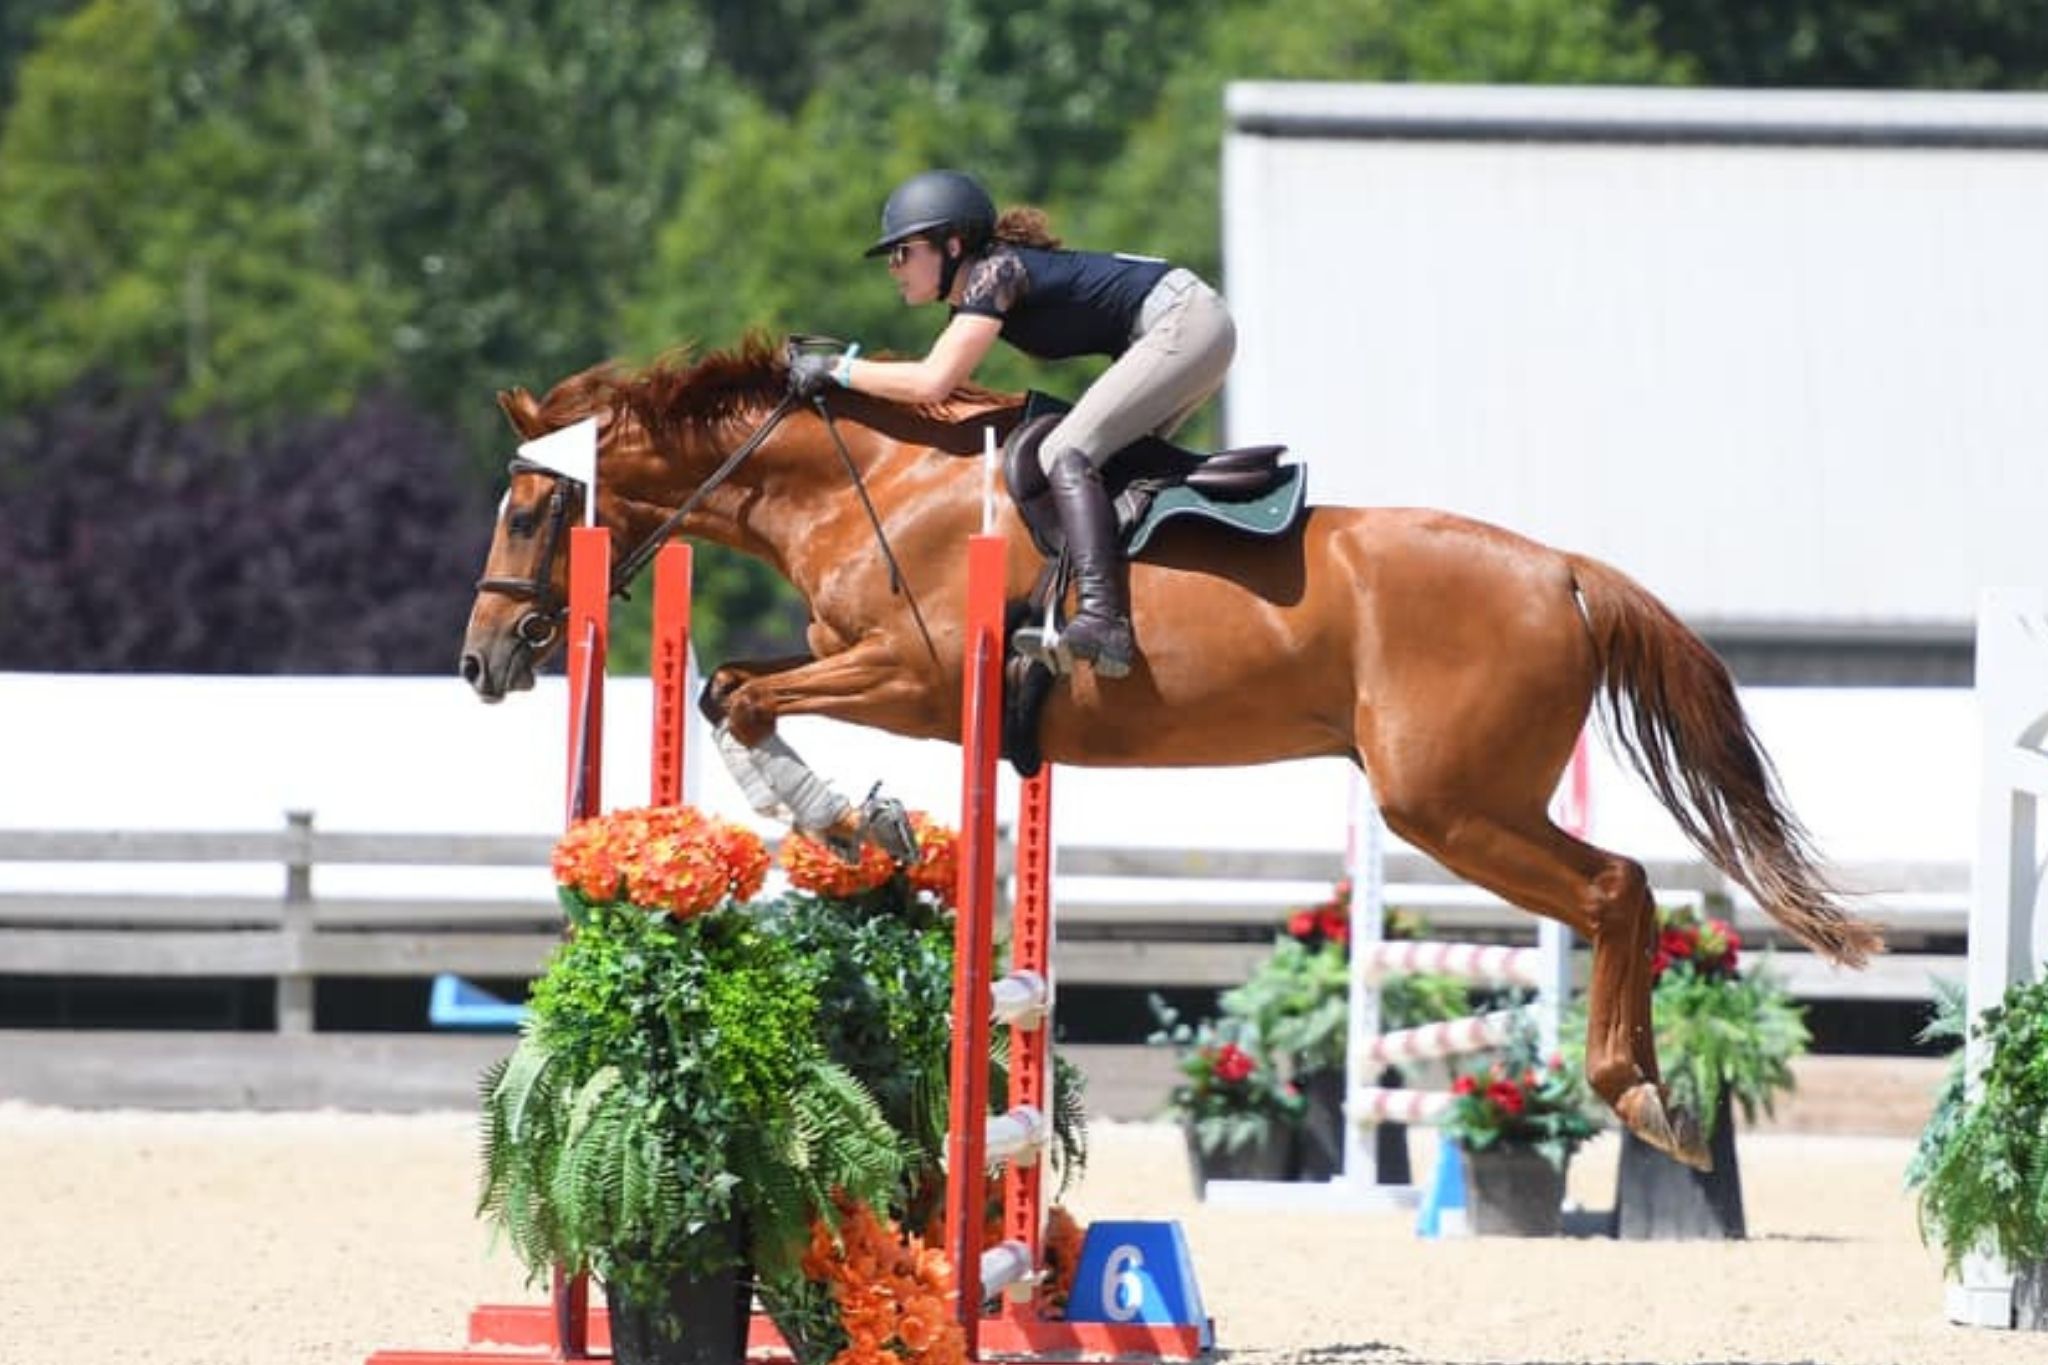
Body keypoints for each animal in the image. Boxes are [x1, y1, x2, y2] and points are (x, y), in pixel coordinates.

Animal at [460, 335, 1882, 1171]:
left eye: (532, 506)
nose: (485, 661)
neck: (868, 482)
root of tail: (1565, 574)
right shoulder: (882, 678)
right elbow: (729, 691)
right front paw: (848, 825)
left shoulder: (912, 680)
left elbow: (737, 697)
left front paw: (845, 818)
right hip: (1457, 803)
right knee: (1620, 889)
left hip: (1446, 805)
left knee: (1615, 889)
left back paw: (1642, 1101)